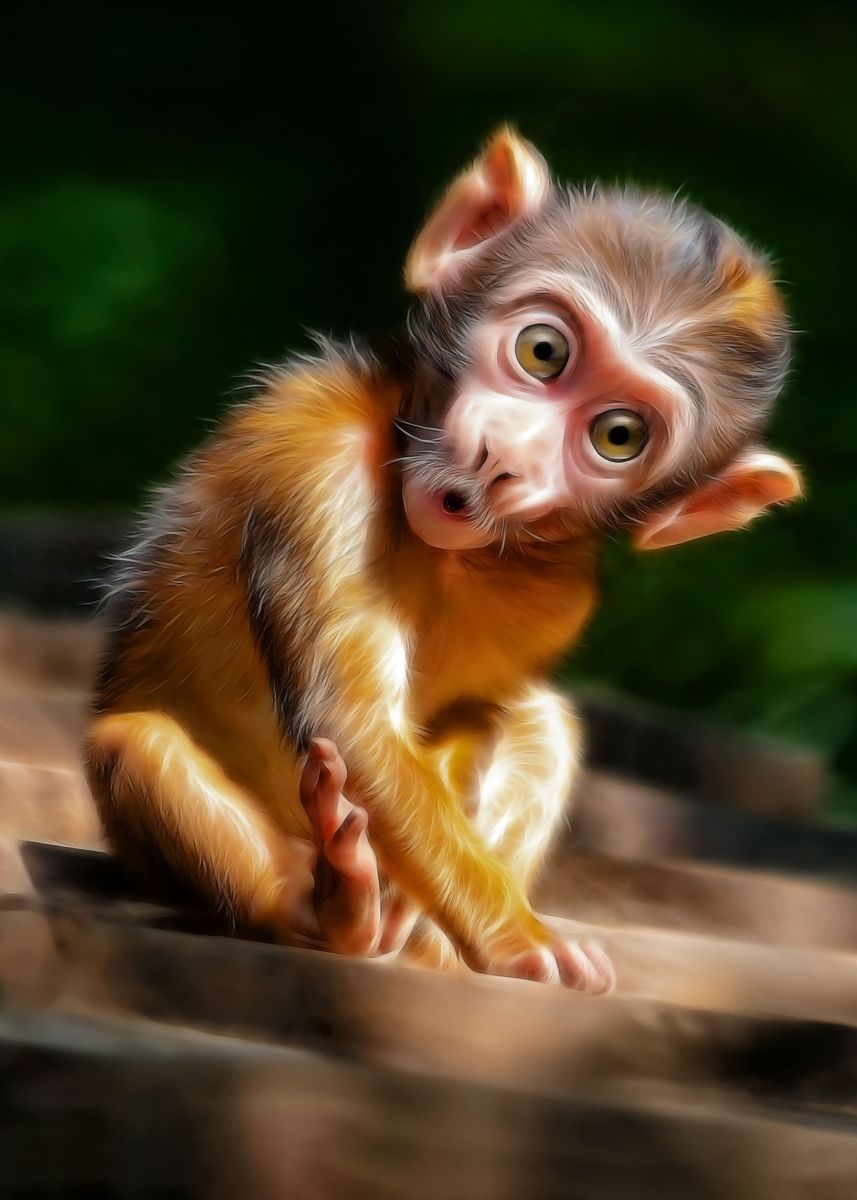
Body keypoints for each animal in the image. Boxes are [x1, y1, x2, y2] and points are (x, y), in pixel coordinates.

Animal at [83, 128, 800, 992]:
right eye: (542, 352)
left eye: (617, 436)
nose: (505, 458)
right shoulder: (315, 463)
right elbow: (354, 726)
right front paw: (518, 939)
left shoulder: (556, 591)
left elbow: (478, 713)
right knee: (139, 747)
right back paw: (334, 913)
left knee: (541, 724)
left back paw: (408, 933)